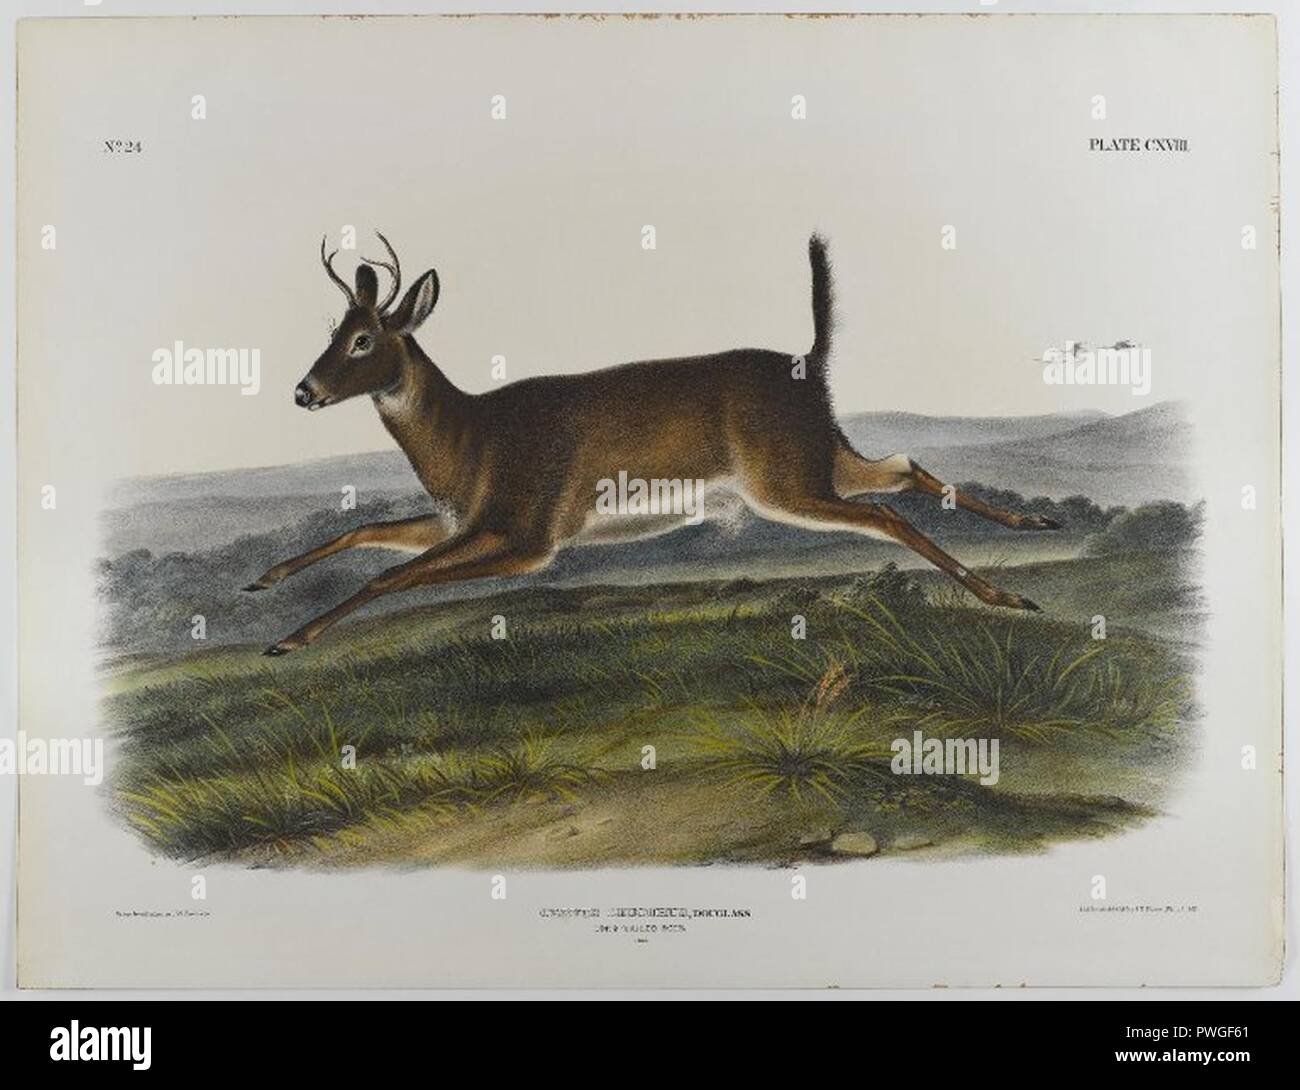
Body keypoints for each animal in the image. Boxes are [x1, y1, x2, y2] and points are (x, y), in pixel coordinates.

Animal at [244, 232, 1061, 655]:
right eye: (332, 331)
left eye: (362, 340)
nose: (303, 391)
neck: (468, 439)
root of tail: (810, 361)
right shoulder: (462, 522)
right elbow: (365, 532)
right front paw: (264, 581)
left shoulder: (529, 535)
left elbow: (391, 575)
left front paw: (289, 639)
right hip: (822, 460)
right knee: (904, 466)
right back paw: (1034, 526)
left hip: (785, 482)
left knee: (887, 511)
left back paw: (1009, 593)